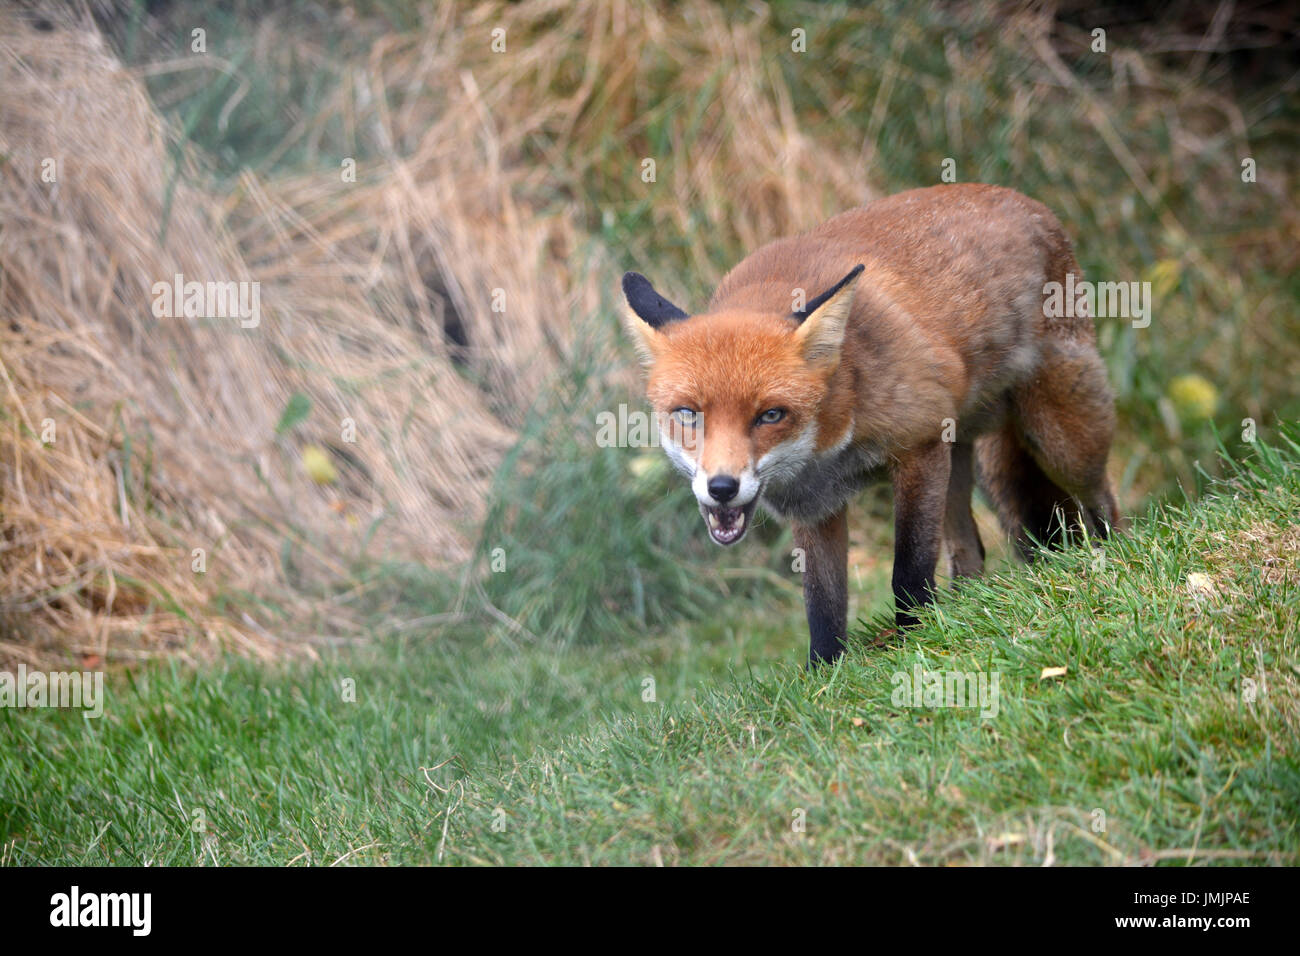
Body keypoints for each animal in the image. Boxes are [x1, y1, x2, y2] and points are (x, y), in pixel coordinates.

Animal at [622, 183, 1122, 665]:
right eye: (689, 414)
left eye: (770, 415)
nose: (722, 487)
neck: (830, 452)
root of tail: (1030, 202)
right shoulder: (815, 507)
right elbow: (822, 606)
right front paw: (826, 674)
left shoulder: (918, 448)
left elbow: (908, 570)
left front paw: (914, 638)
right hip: (959, 463)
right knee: (969, 551)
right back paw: (969, 604)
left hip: (1057, 437)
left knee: (1100, 498)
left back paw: (1111, 554)